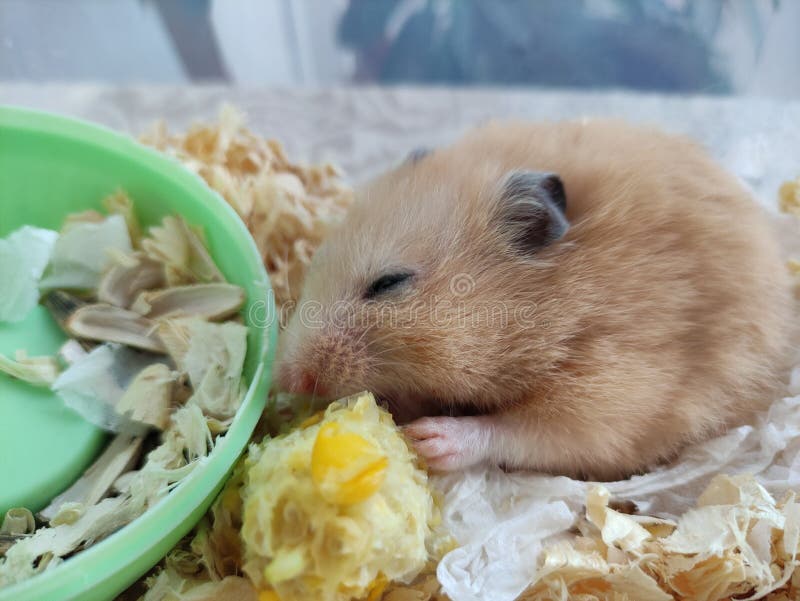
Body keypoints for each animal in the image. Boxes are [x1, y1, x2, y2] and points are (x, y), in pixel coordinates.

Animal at [274, 119, 793, 481]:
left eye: (389, 283)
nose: (286, 376)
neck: (556, 298)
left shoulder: (613, 385)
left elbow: (527, 431)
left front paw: (425, 437)